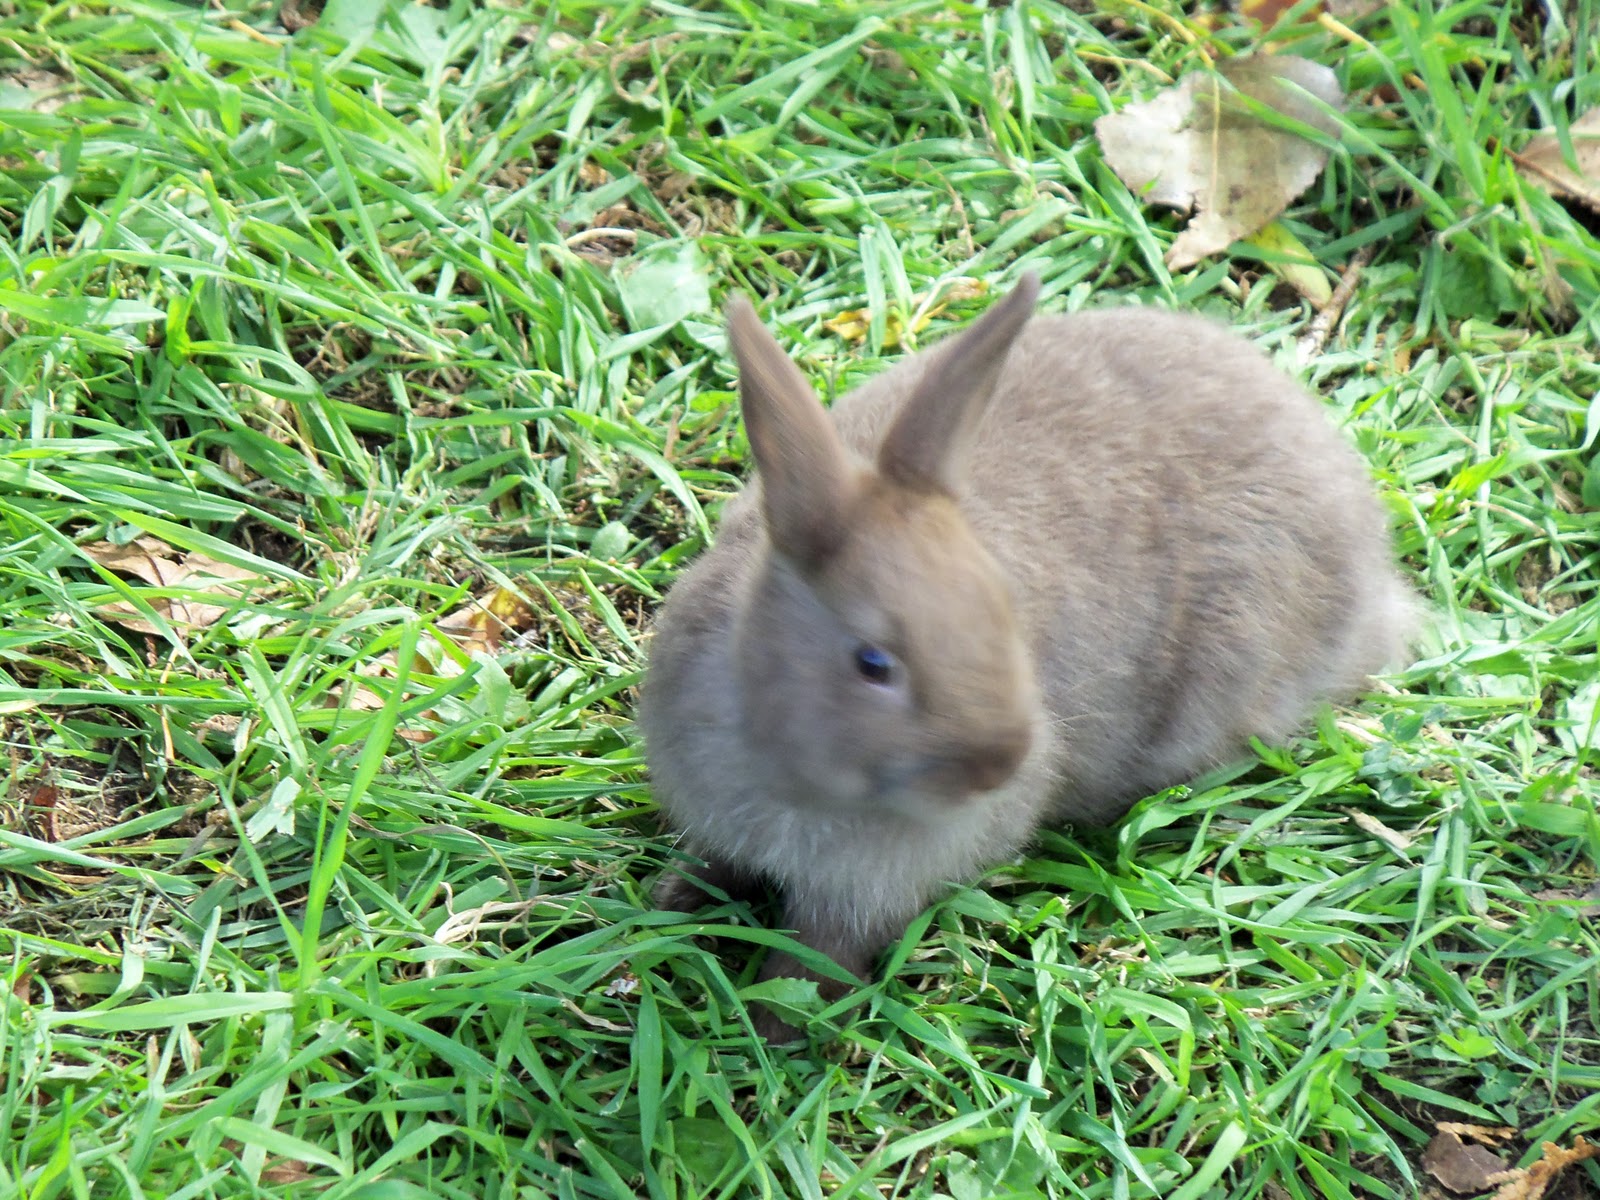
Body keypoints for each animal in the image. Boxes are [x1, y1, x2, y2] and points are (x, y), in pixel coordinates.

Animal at [638, 273, 1414, 1042]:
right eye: (873, 663)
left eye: (1004, 613)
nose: (1001, 766)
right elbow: (713, 869)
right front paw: (665, 905)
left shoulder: (863, 892)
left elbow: (820, 956)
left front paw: (777, 1028)